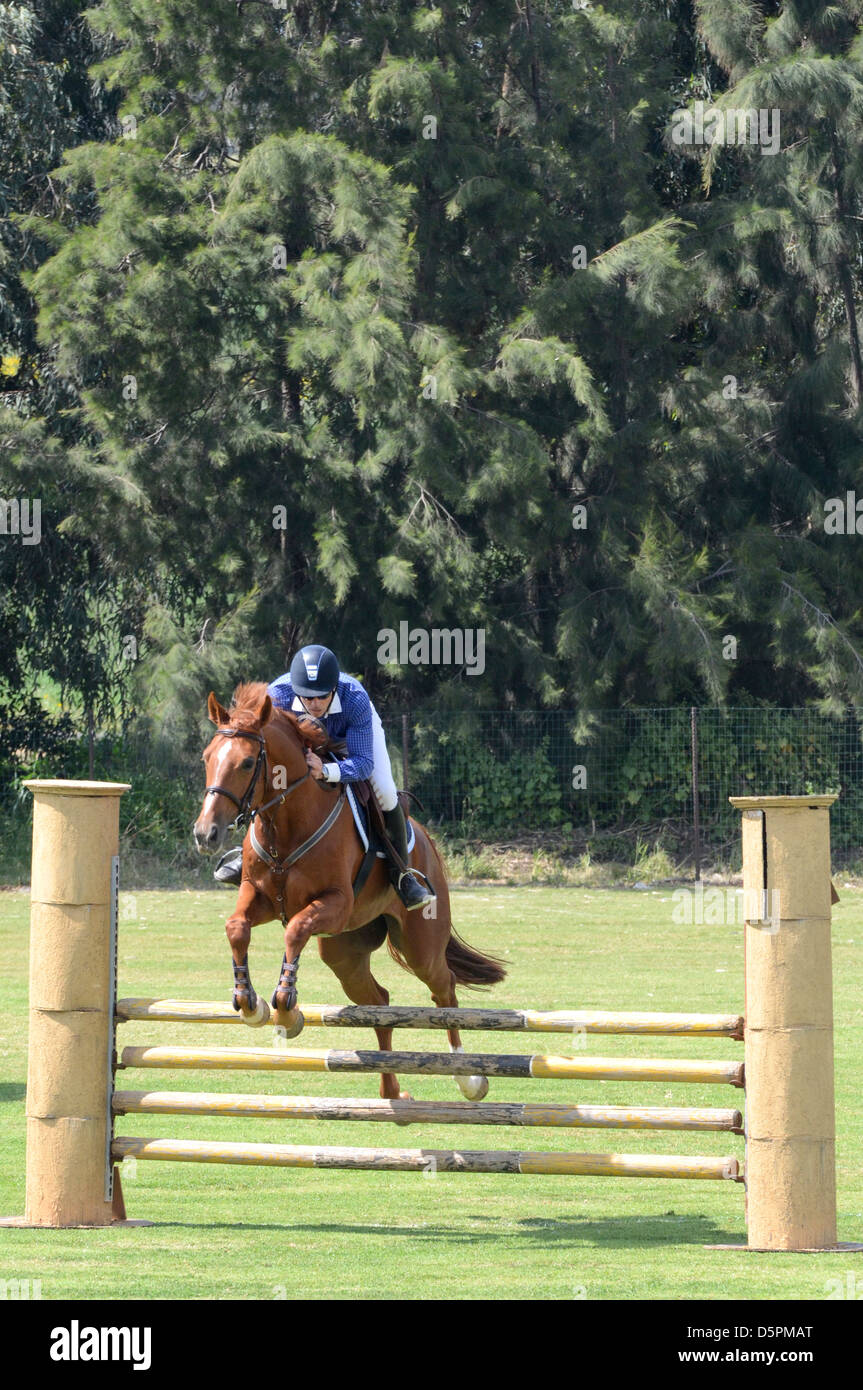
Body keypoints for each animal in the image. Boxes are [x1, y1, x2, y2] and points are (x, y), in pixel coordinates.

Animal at [193, 683, 506, 1101]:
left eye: (246, 763)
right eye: (207, 758)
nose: (205, 834)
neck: (286, 823)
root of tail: (424, 838)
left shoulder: (335, 904)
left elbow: (295, 931)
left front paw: (286, 1009)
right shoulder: (259, 896)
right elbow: (236, 928)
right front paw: (251, 1003)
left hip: (419, 945)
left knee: (444, 990)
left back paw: (468, 1077)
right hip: (344, 953)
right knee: (380, 1003)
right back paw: (392, 1092)